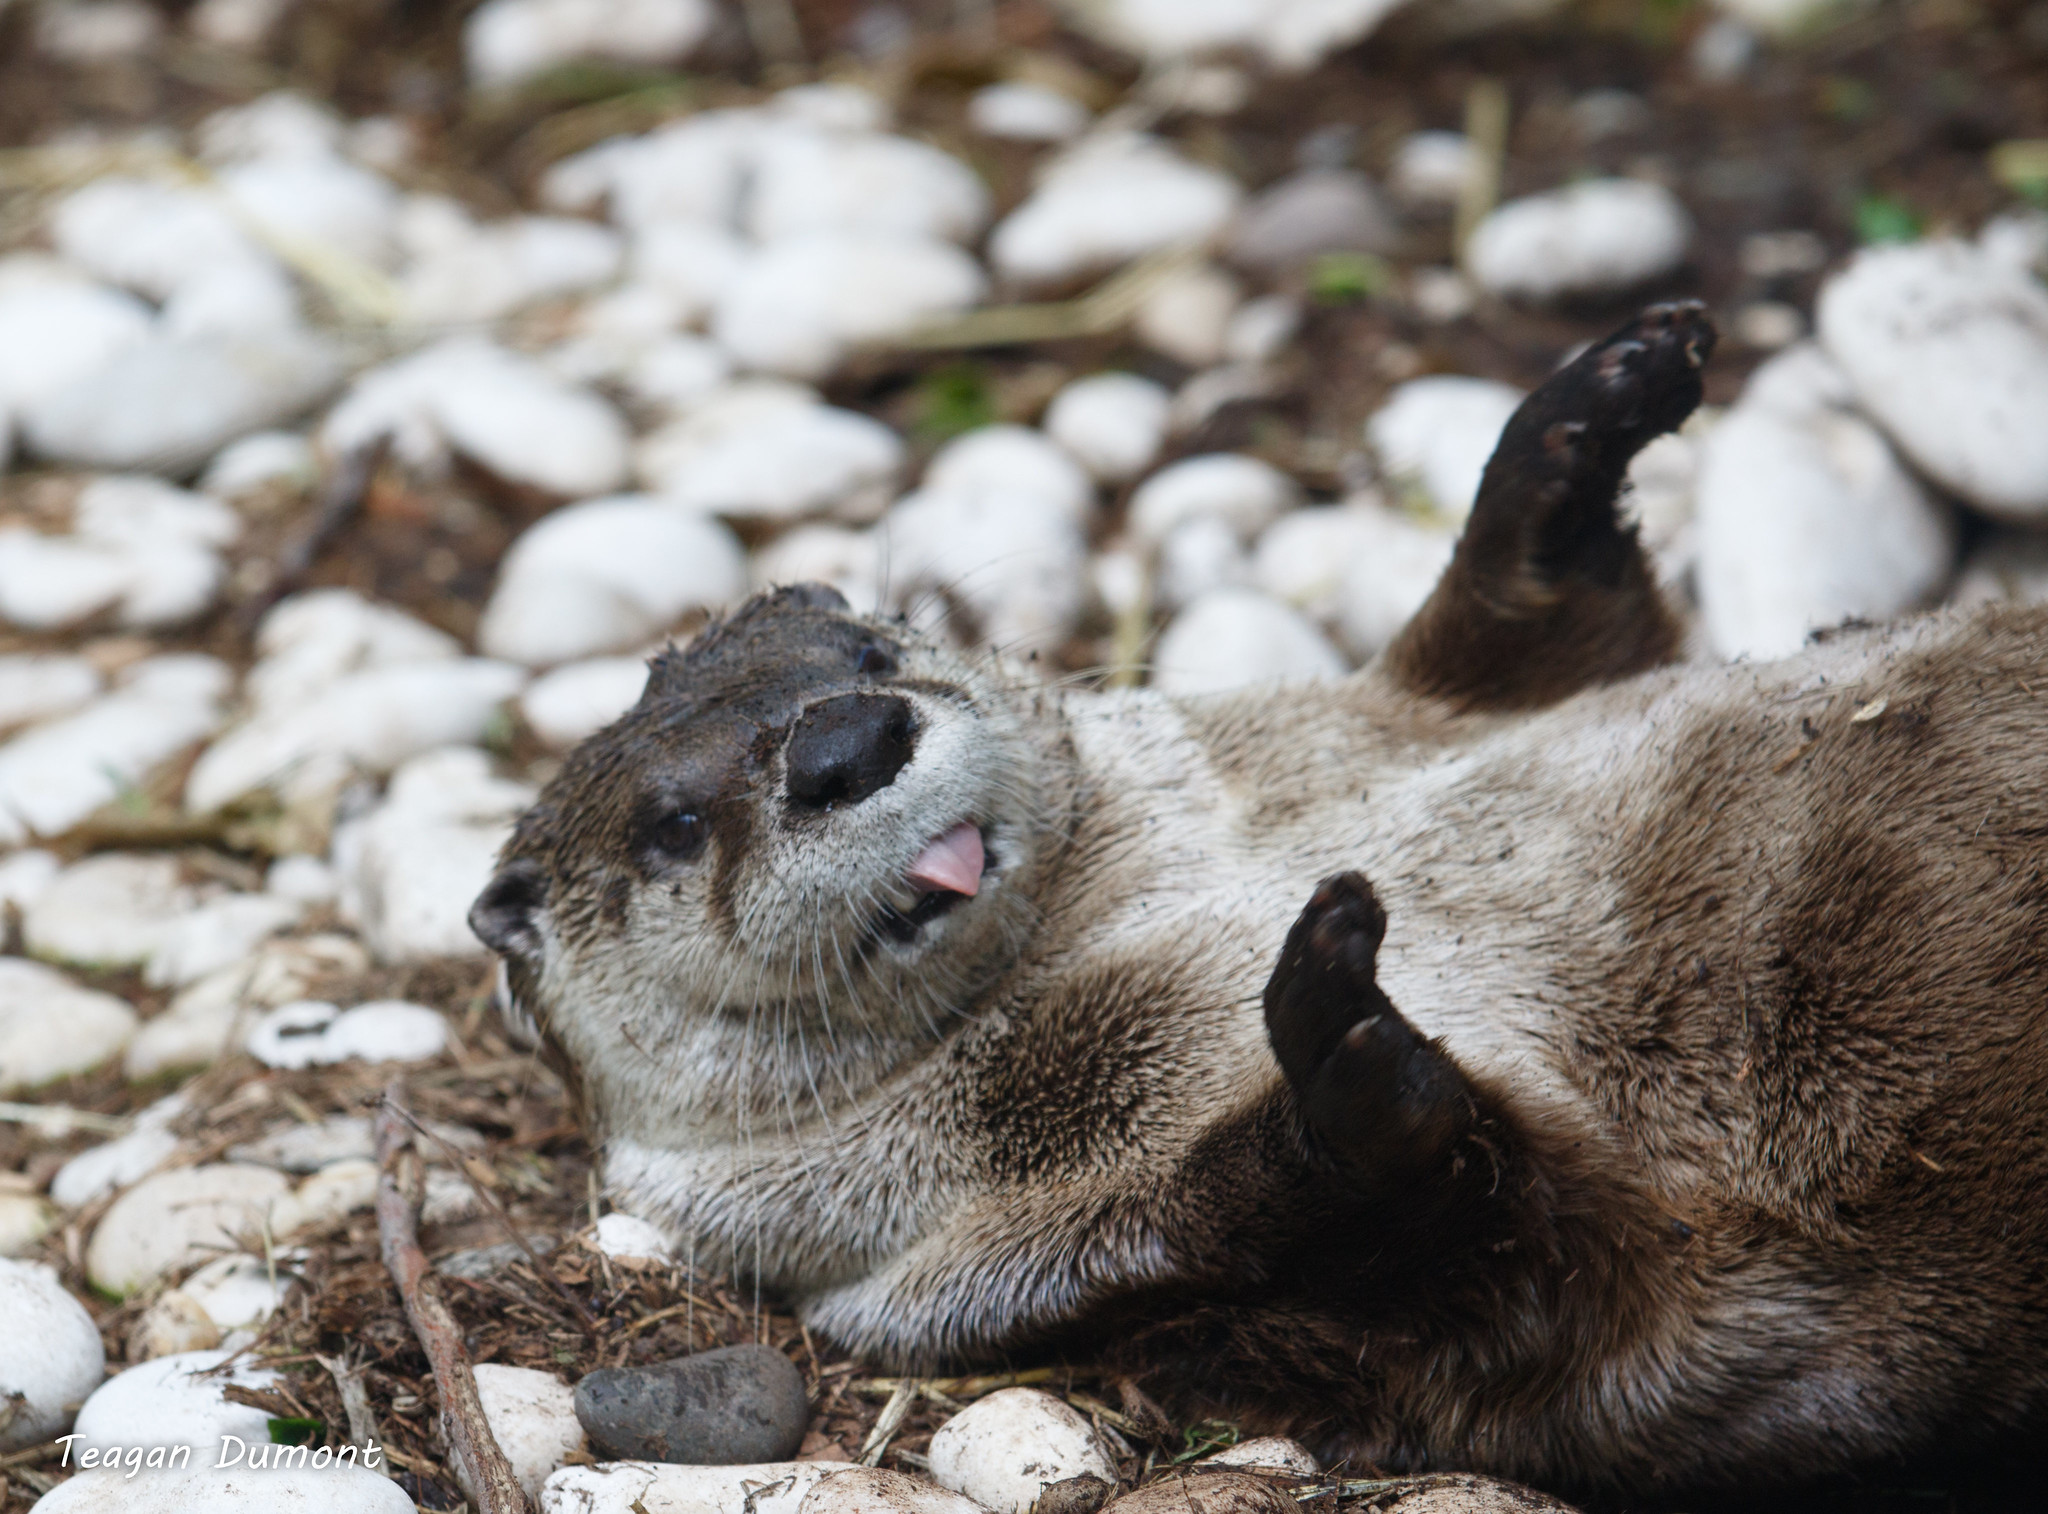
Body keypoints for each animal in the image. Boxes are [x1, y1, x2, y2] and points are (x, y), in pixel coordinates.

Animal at [470, 304, 2048, 1496]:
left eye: (869, 651)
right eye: (675, 823)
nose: (845, 740)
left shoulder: (1398, 715)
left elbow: (1544, 627)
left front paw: (1584, 409)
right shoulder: (1048, 1265)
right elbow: (1517, 1288)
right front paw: (1337, 1050)